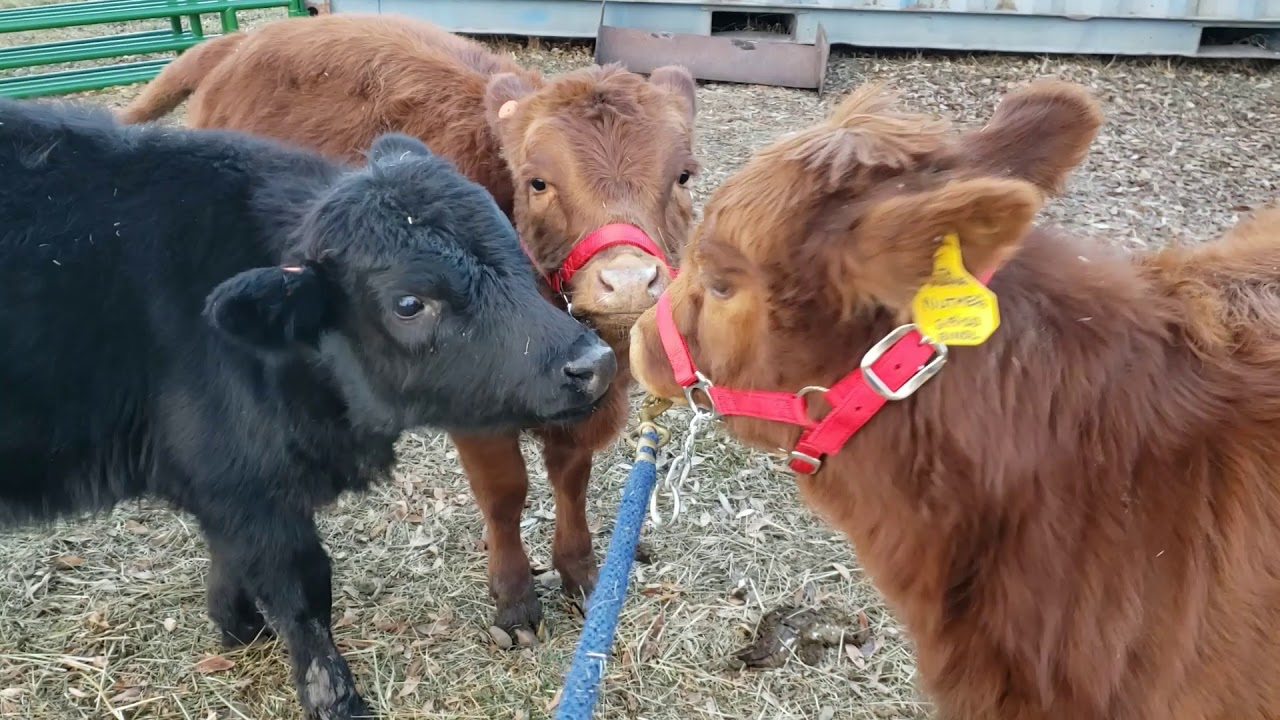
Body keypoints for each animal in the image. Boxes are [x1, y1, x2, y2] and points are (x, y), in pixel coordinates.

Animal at [0, 97, 617, 720]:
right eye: (409, 303)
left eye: (511, 245)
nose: (591, 362)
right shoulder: (251, 490)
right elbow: (303, 591)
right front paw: (337, 699)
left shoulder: (232, 485)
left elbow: (233, 557)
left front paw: (238, 624)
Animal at [119, 13, 700, 633]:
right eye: (538, 182)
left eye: (684, 176)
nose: (630, 280)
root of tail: (246, 40)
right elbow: (505, 492)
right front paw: (514, 597)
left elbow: (571, 480)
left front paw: (583, 575)